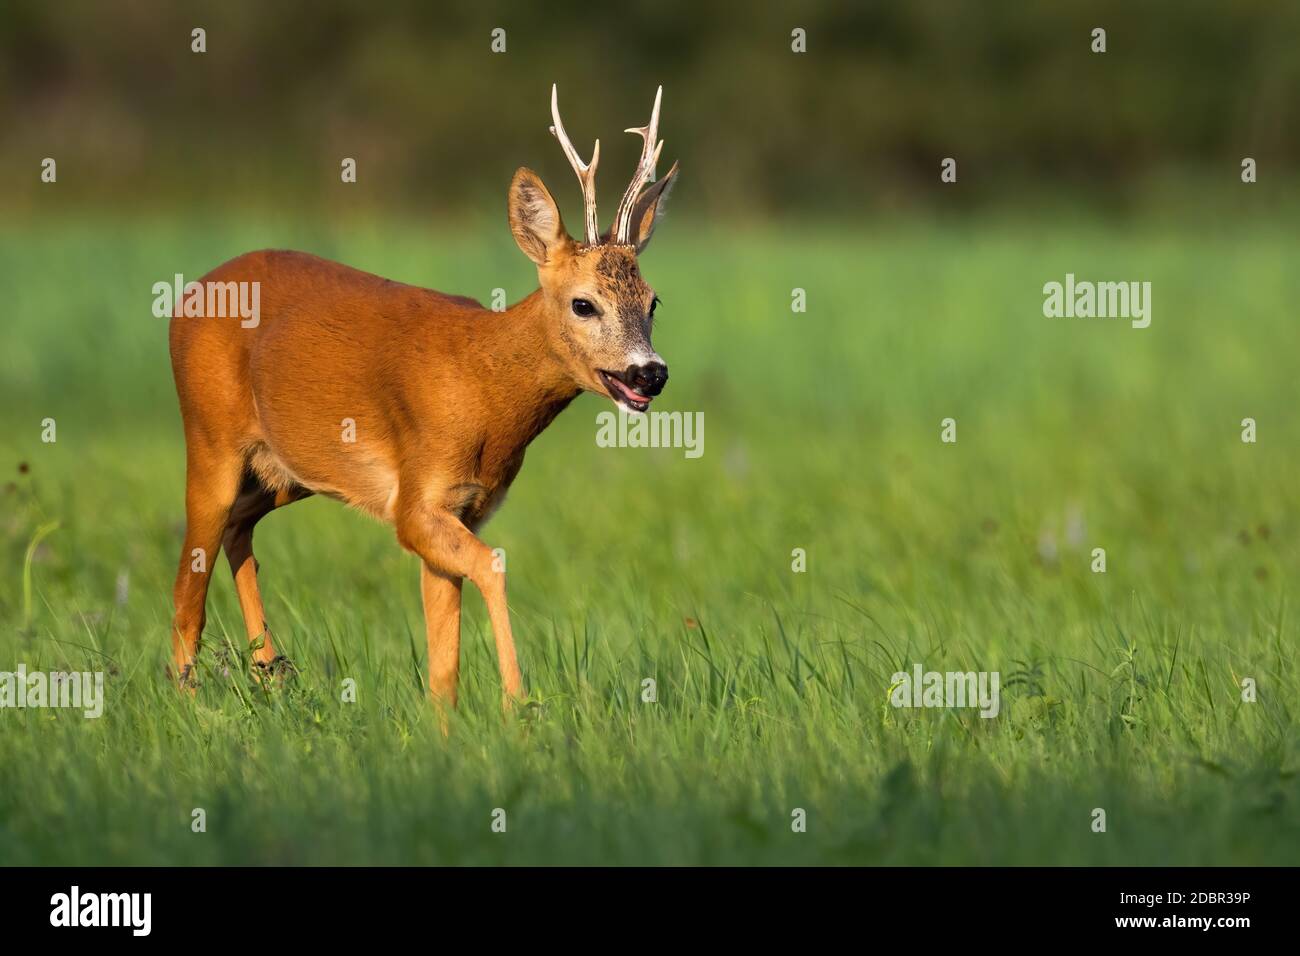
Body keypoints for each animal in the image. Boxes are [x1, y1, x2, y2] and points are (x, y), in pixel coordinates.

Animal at [168, 86, 678, 710]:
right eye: (584, 304)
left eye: (652, 302)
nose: (650, 373)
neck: (485, 389)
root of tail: (183, 300)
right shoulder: (415, 502)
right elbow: (493, 568)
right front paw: (518, 704)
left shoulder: (464, 507)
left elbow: (442, 664)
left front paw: (452, 722)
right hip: (208, 437)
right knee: (186, 593)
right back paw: (195, 697)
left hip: (280, 473)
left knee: (238, 528)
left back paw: (270, 666)